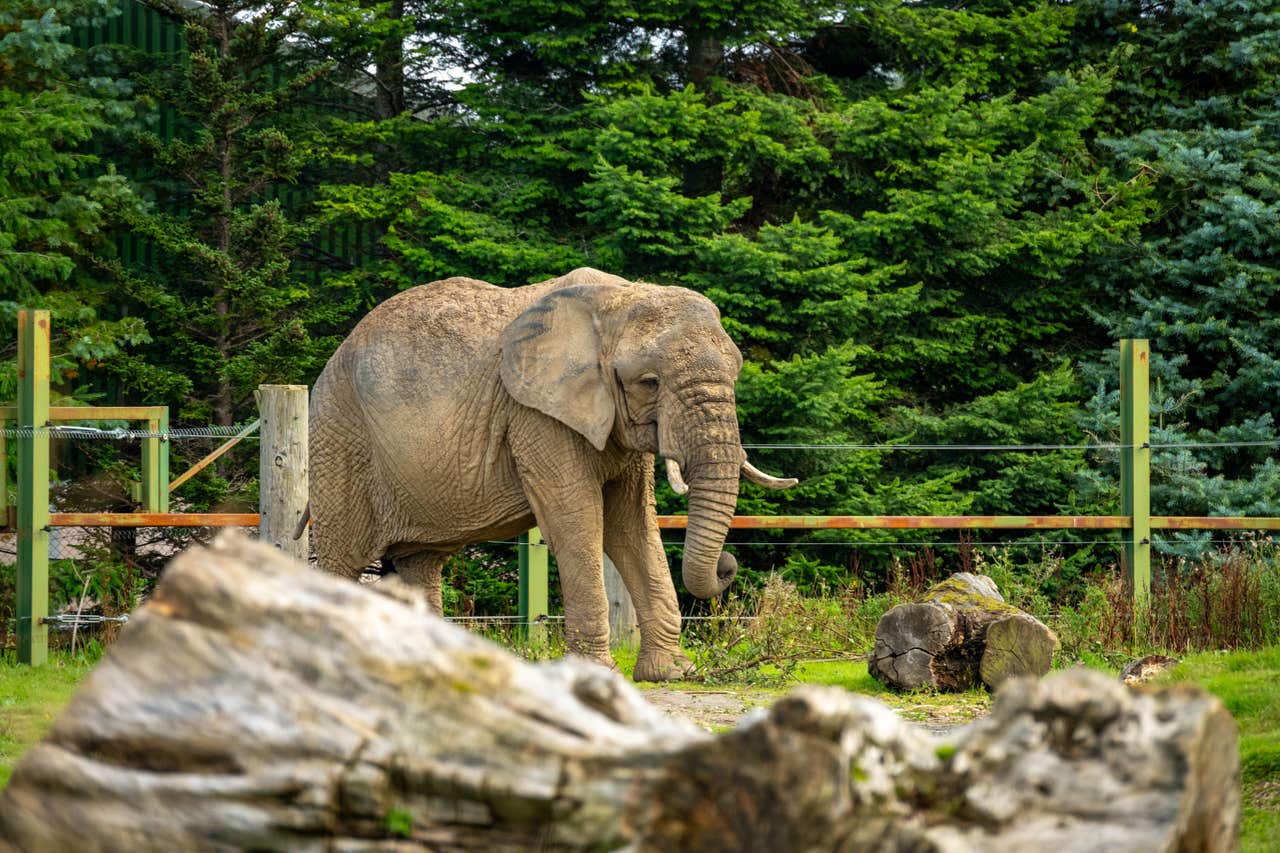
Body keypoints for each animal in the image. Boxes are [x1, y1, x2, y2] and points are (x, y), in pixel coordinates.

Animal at [304, 267, 796, 681]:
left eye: (736, 372)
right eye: (649, 382)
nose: (729, 564)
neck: (618, 299)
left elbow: (632, 526)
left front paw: (672, 674)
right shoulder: (537, 415)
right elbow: (578, 521)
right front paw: (601, 676)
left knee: (419, 563)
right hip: (339, 438)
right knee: (342, 563)